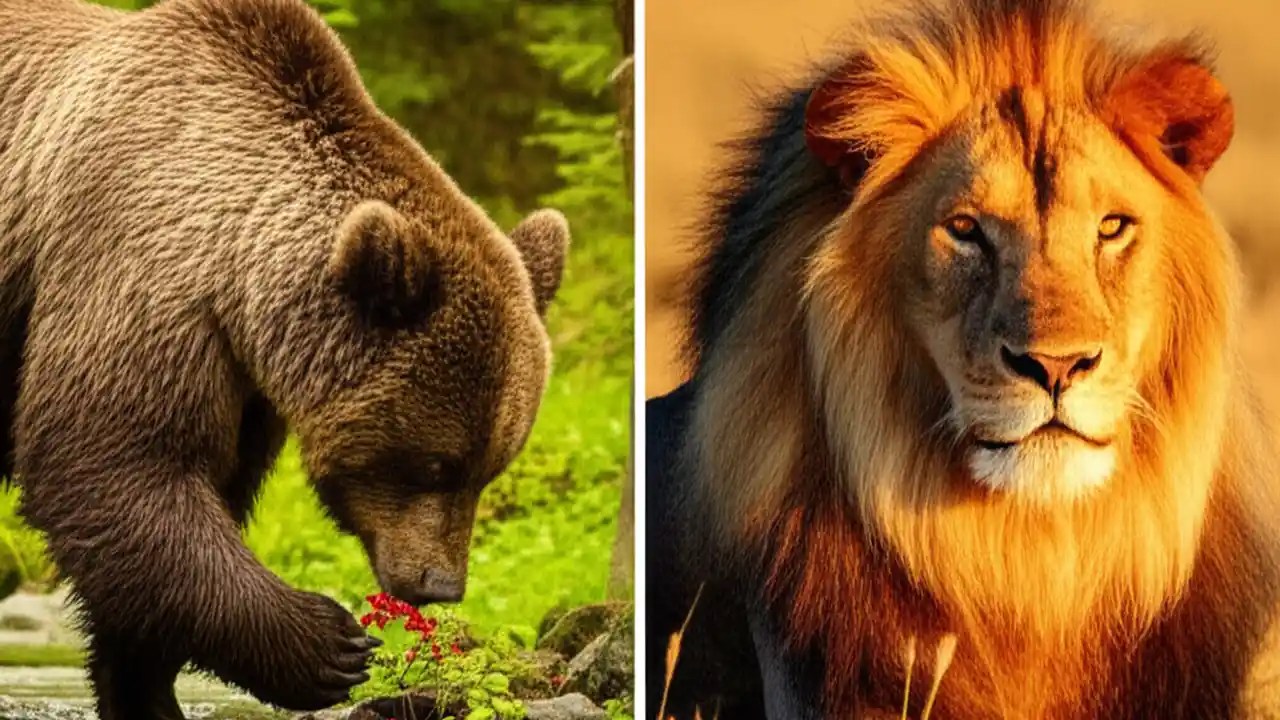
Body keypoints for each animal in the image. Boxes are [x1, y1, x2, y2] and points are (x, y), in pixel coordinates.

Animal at [0, 0, 569, 718]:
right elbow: (117, 460)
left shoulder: (241, 378)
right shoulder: (136, 268)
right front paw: (331, 645)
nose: (439, 584)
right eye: (437, 464)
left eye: (490, 470)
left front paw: (144, 686)